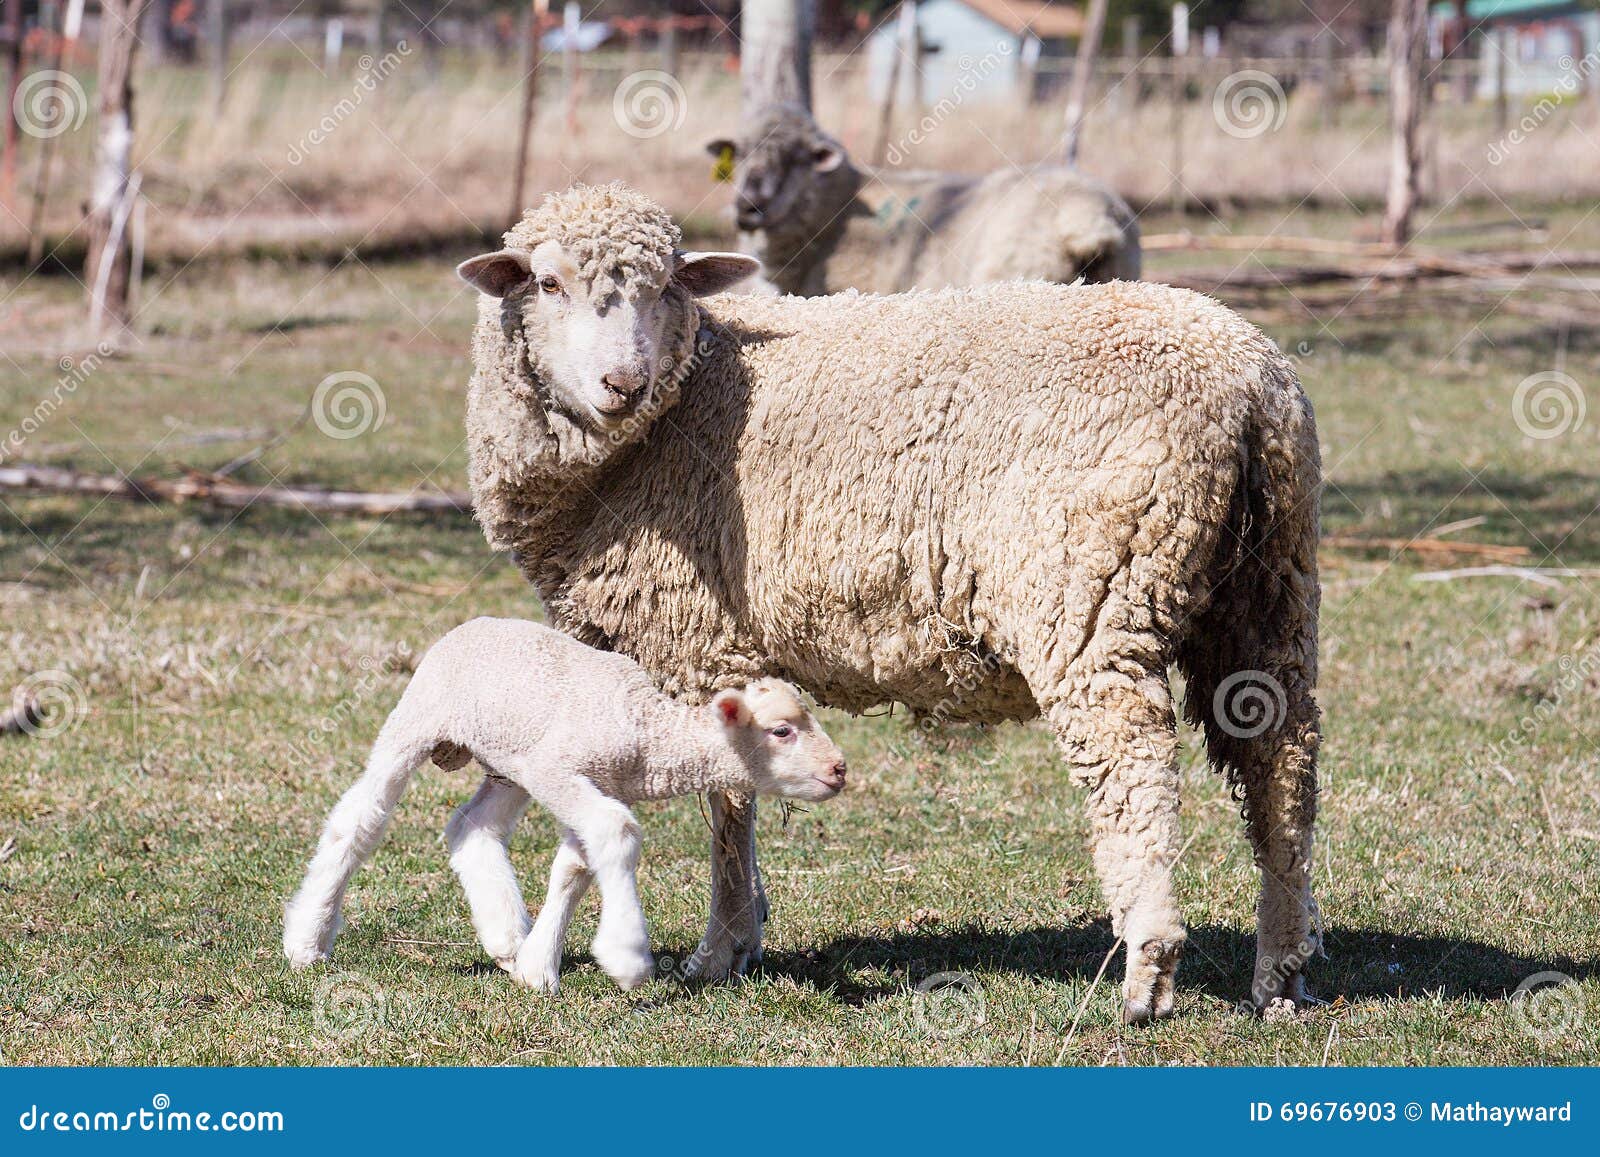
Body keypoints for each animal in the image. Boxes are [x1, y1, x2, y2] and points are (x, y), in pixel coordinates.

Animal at [281, 617, 847, 992]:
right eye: (782, 730)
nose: (840, 768)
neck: (646, 734)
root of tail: (470, 624)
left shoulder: (599, 783)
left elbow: (575, 866)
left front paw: (537, 965)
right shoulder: (560, 770)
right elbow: (617, 834)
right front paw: (625, 954)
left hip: (507, 760)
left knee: (471, 826)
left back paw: (507, 938)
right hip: (418, 721)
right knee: (360, 819)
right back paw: (308, 942)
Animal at [455, 183, 1322, 1022]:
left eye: (669, 286)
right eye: (547, 283)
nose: (623, 385)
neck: (686, 395)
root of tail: (1247, 386)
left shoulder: (701, 634)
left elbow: (727, 799)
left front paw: (719, 950)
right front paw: (748, 932)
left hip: (1094, 592)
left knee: (1135, 761)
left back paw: (1147, 972)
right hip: (1268, 590)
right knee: (1282, 761)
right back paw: (1280, 969)